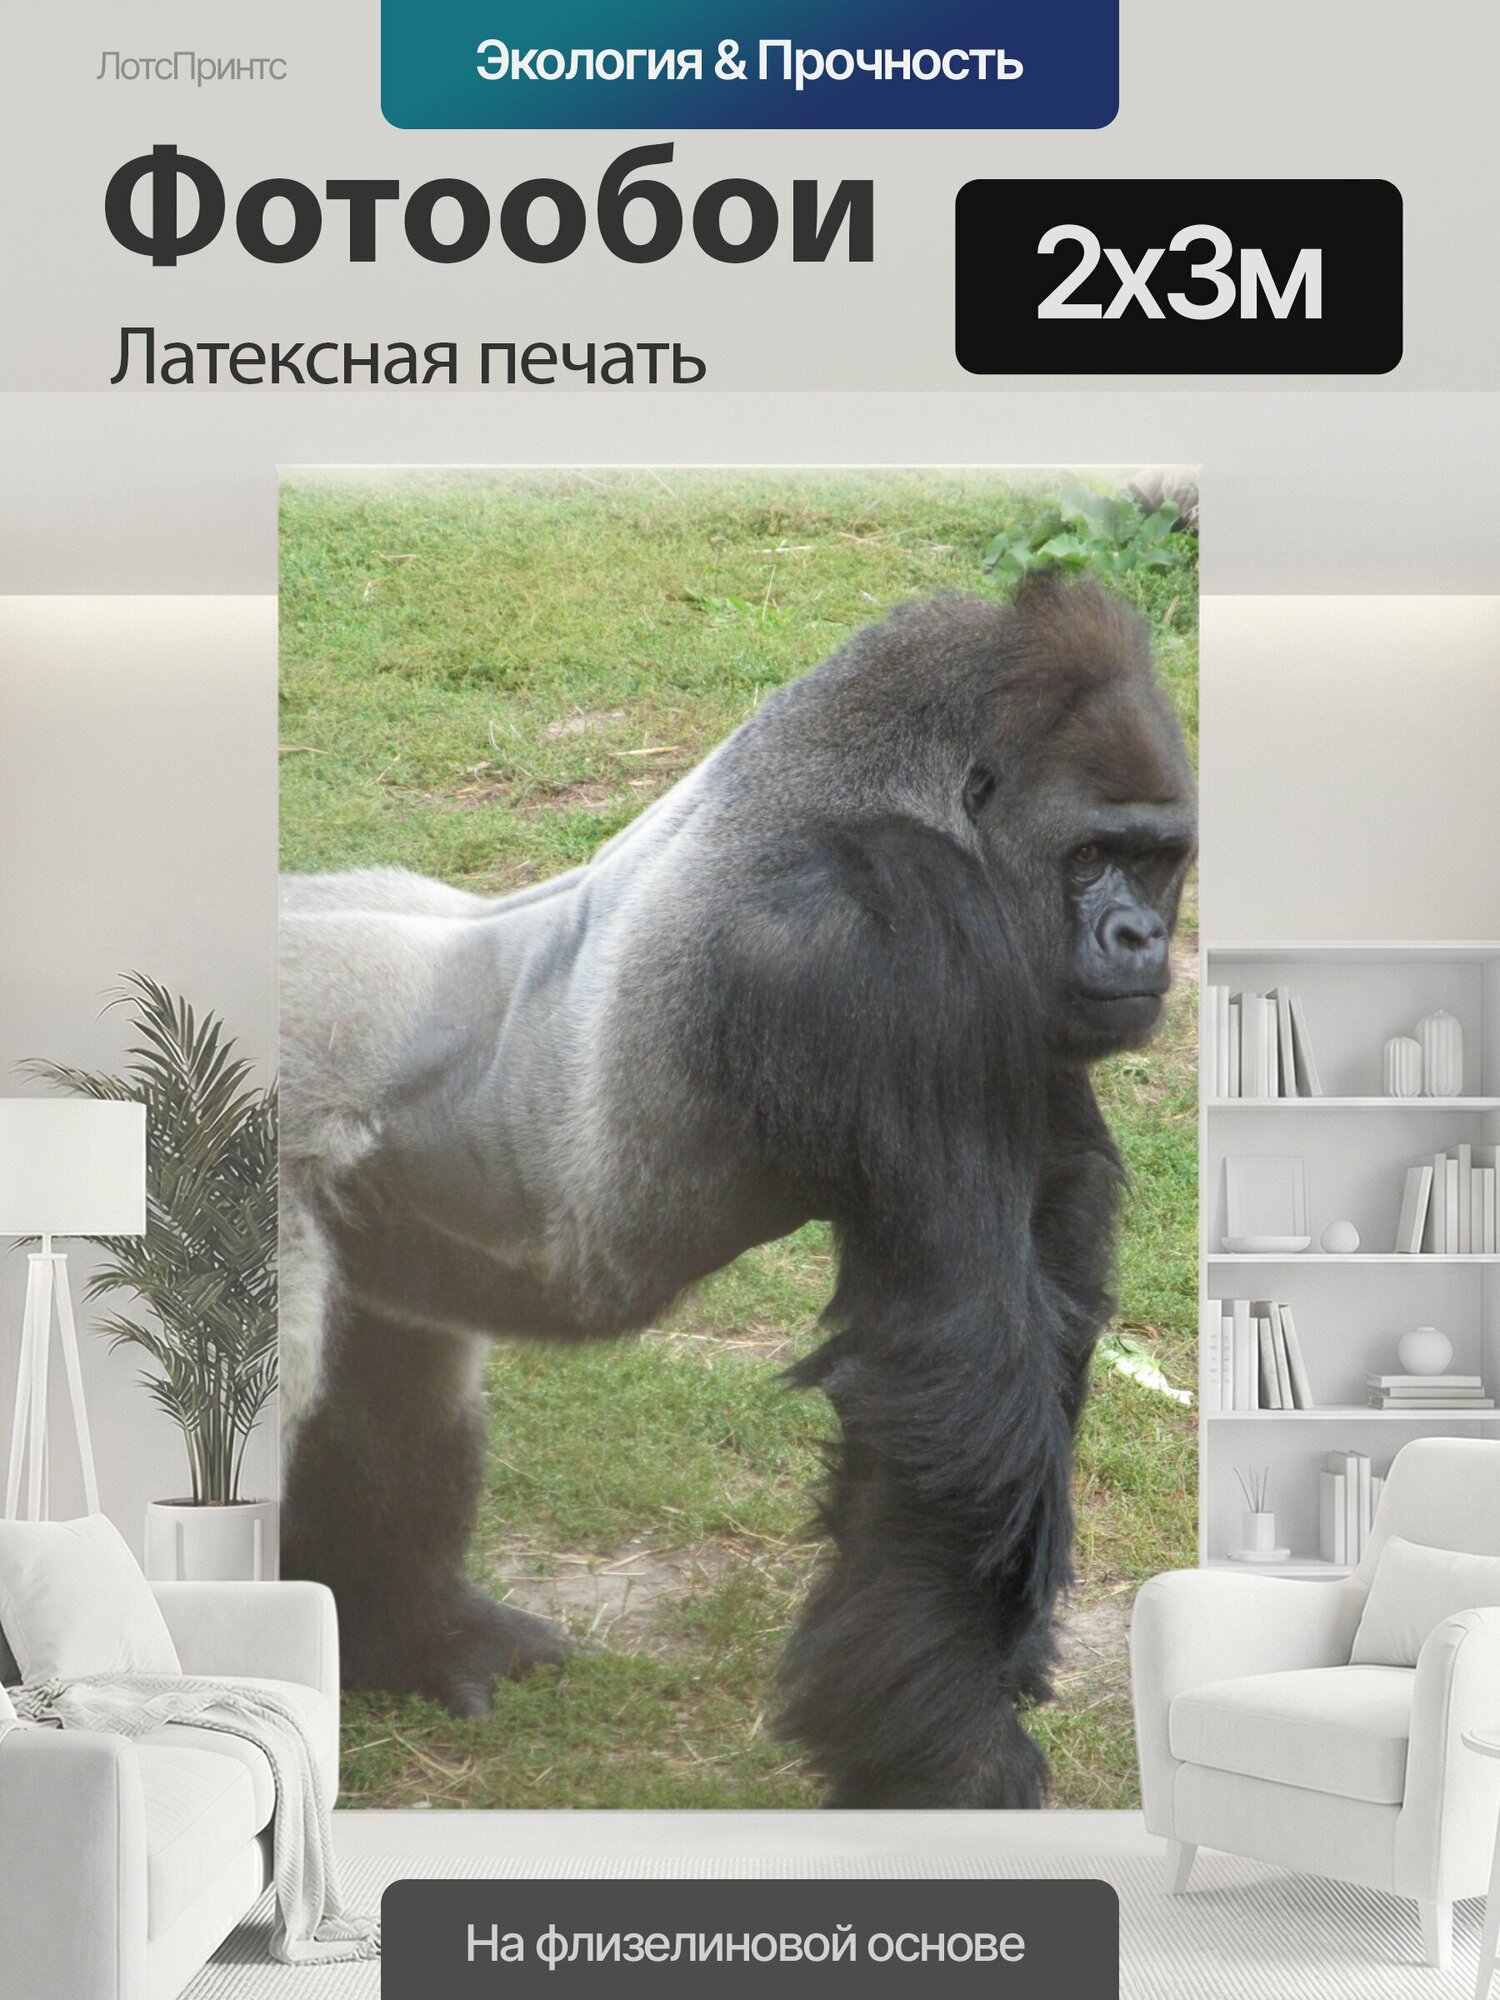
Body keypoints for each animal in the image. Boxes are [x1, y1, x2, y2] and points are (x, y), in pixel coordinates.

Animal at [278, 573, 1196, 1807]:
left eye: (1157, 858)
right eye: (1091, 855)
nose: (1141, 936)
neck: (895, 791)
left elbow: (1042, 1313)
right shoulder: (904, 936)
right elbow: (957, 1367)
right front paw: (948, 1756)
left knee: (386, 1370)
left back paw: (406, 1632)